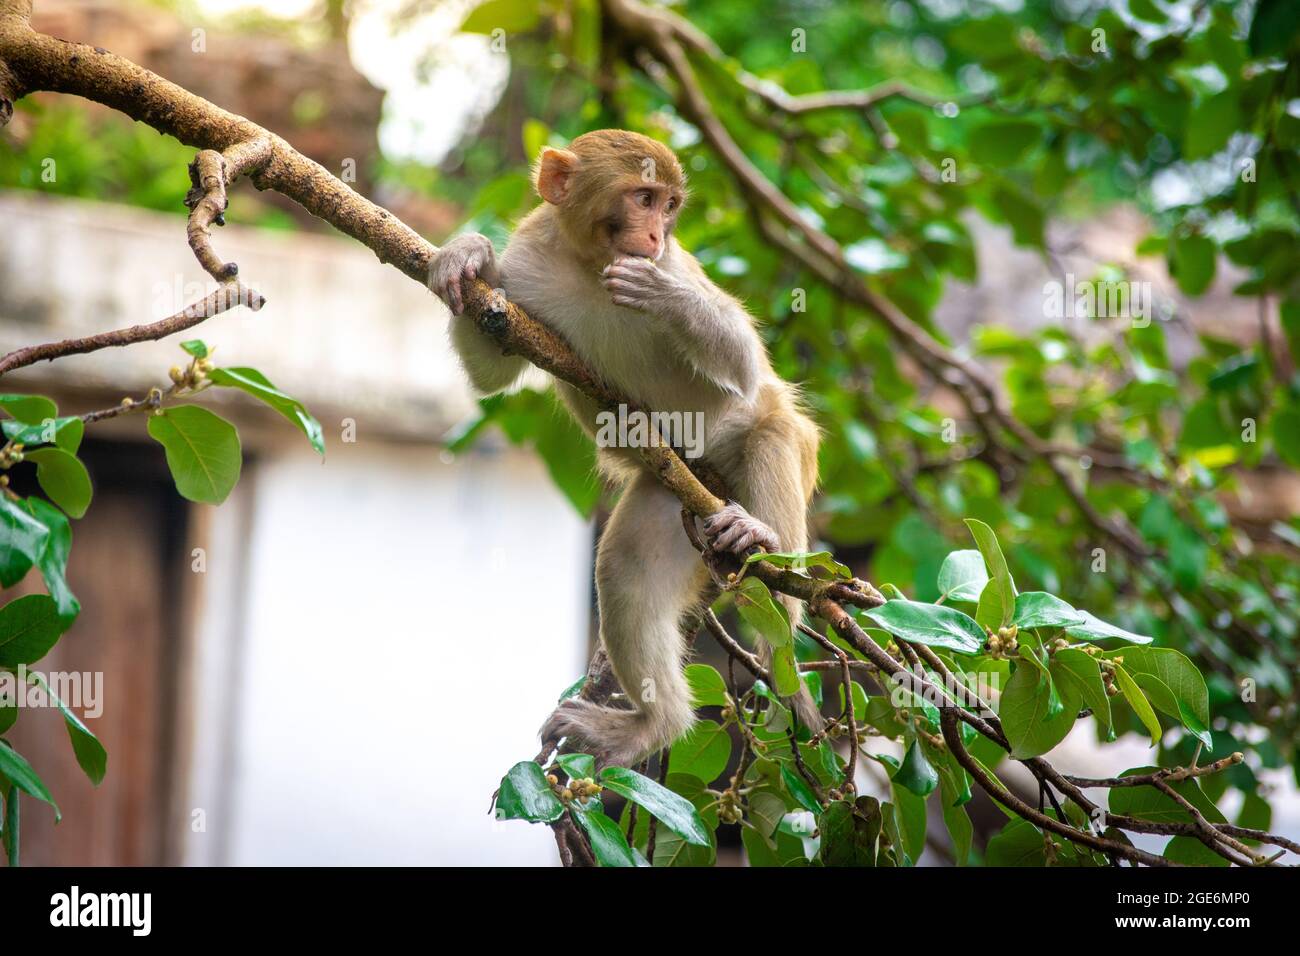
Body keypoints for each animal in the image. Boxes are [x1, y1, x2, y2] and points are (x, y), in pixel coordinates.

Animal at [432, 129, 820, 768]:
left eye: (669, 207)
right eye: (643, 197)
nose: (656, 235)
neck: (590, 265)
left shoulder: (679, 263)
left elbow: (743, 364)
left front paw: (668, 297)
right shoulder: (525, 268)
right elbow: (493, 362)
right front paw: (468, 254)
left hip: (756, 458)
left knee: (771, 434)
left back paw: (761, 542)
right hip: (672, 499)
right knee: (626, 571)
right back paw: (652, 725)